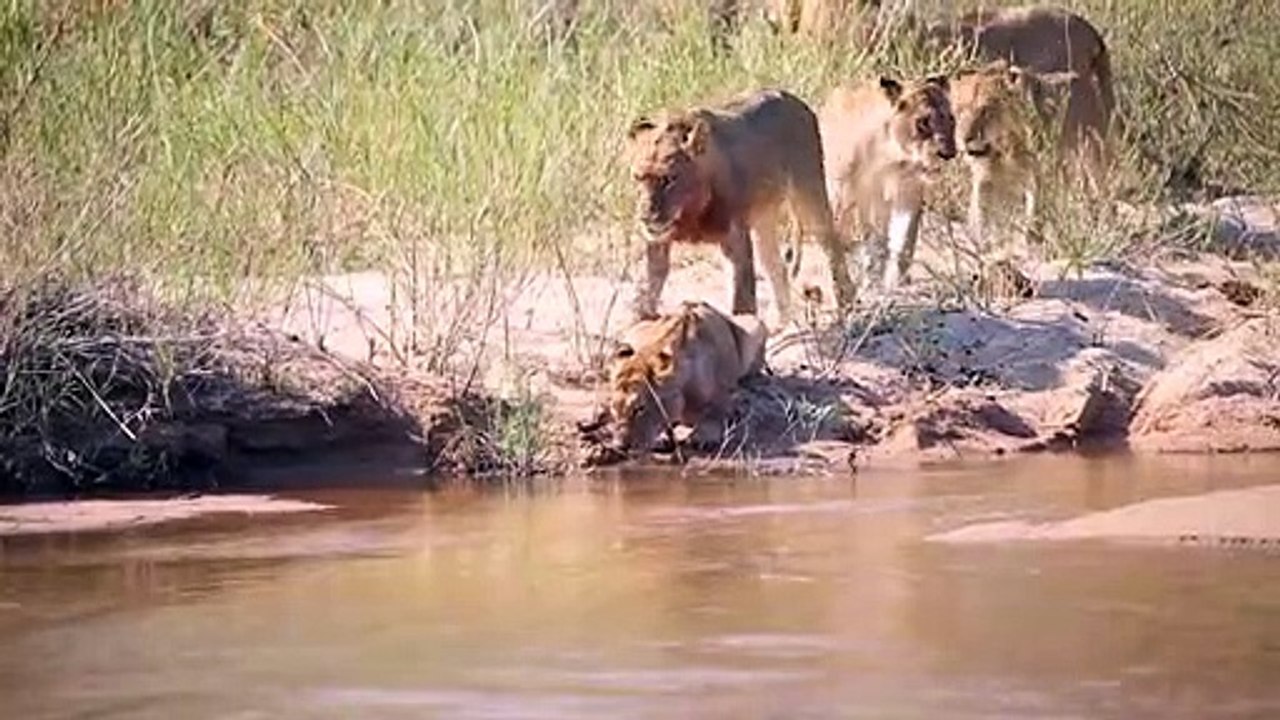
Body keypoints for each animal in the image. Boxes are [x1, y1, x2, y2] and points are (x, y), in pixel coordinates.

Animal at [602, 301, 768, 455]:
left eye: (640, 408)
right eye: (614, 408)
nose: (619, 446)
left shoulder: (724, 395)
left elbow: (714, 414)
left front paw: (703, 436)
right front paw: (661, 436)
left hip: (754, 325)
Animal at [626, 88, 856, 327]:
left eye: (670, 179)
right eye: (637, 177)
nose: (645, 216)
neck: (690, 212)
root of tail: (789, 96)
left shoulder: (734, 238)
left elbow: (741, 299)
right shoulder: (654, 244)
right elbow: (644, 290)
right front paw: (637, 324)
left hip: (809, 192)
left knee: (832, 249)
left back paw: (846, 309)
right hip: (763, 220)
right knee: (776, 266)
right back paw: (780, 322)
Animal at [818, 73, 957, 294]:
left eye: (951, 119)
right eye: (923, 122)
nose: (948, 153)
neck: (893, 157)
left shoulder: (908, 192)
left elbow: (903, 240)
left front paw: (892, 283)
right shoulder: (844, 193)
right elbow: (842, 238)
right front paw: (846, 284)